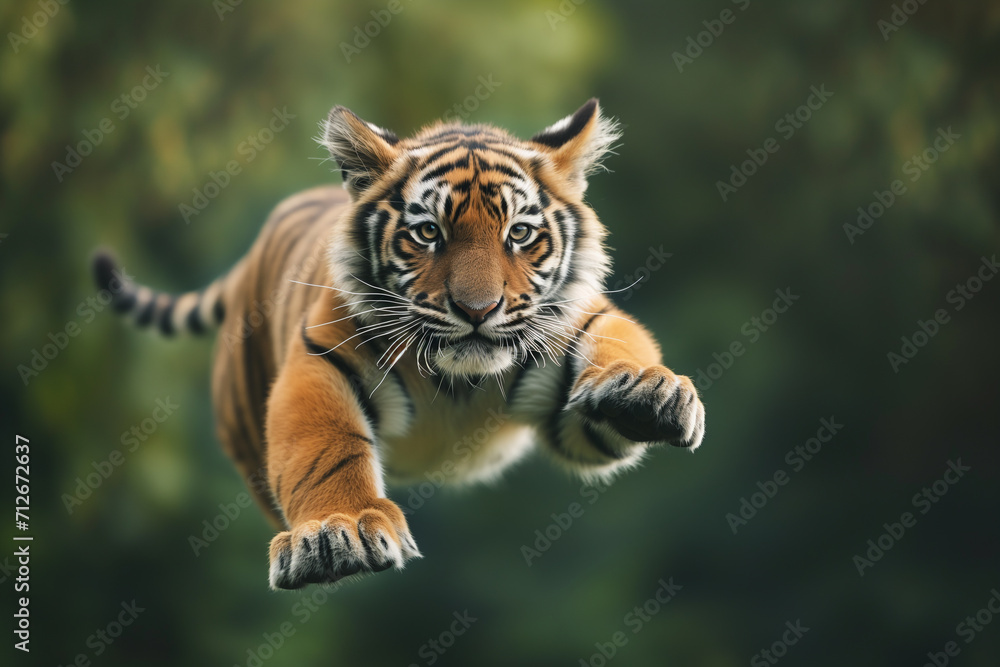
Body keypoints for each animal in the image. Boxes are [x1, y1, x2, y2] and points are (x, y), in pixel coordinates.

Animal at [93, 99, 706, 590]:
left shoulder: (578, 347)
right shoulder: (323, 358)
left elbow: (619, 348)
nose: (477, 311)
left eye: (520, 234)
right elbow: (324, 449)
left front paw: (645, 392)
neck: (460, 382)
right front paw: (334, 534)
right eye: (428, 232)